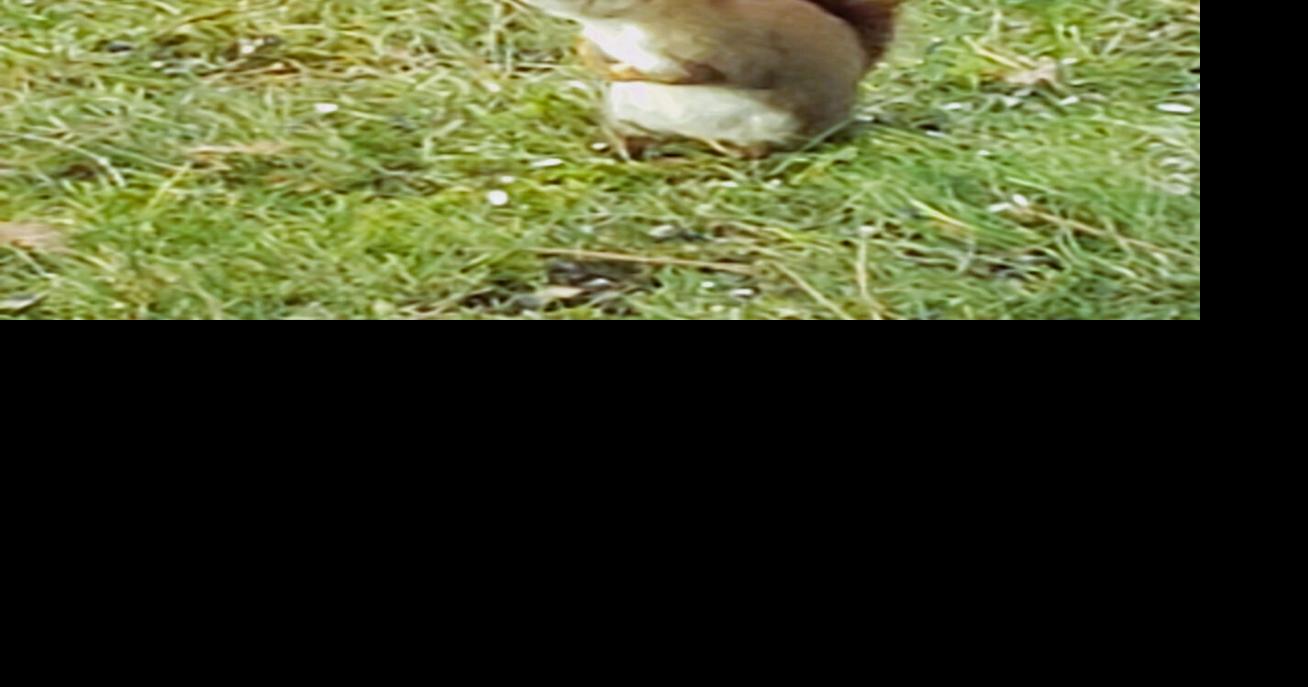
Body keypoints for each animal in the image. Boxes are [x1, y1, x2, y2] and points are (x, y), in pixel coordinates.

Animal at [523, 0, 904, 157]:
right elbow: (585, 44)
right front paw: (593, 62)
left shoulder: (732, 49)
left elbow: (691, 73)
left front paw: (623, 71)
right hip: (626, 109)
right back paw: (626, 148)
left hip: (782, 125)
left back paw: (734, 149)